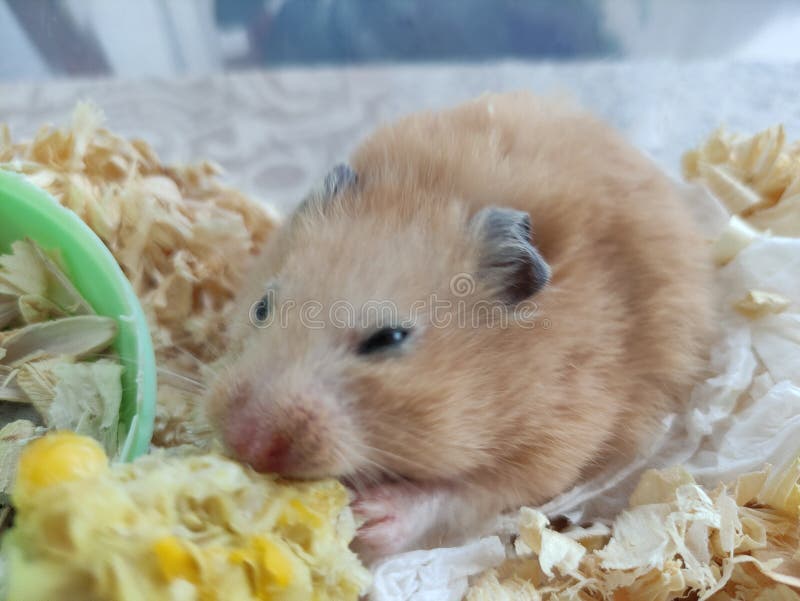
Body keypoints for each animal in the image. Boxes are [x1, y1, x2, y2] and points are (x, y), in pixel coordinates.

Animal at [206, 92, 714, 562]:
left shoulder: (562, 435)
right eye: (262, 307)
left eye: (388, 339)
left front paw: (370, 517)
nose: (246, 441)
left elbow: (464, 491)